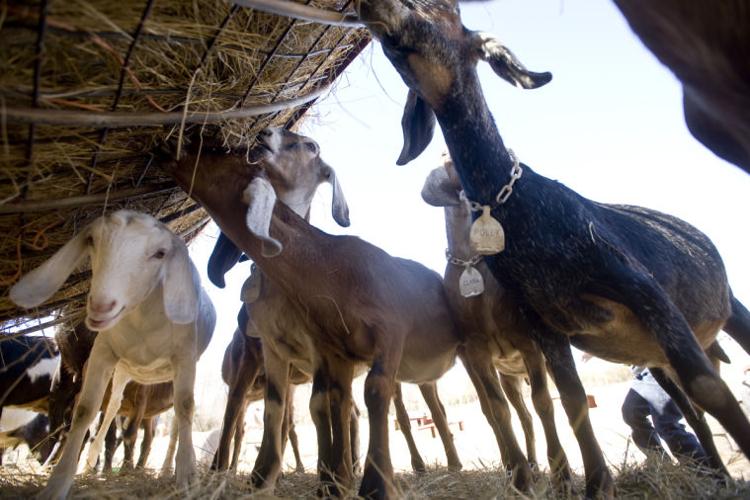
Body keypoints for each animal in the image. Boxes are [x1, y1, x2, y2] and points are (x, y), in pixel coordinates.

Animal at [10, 210, 215, 499]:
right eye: (92, 240)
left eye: (160, 253)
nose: (101, 306)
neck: (143, 322)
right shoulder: (103, 352)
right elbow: (85, 410)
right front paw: (56, 485)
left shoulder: (184, 357)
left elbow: (185, 406)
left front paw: (188, 478)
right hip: (124, 370)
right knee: (112, 407)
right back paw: (90, 462)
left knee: (173, 416)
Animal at [168, 128, 462, 498]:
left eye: (224, 159)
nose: (173, 147)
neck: (331, 267)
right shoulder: (298, 352)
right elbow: (285, 407)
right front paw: (268, 479)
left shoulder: (384, 334)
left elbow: (365, 392)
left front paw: (373, 483)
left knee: (432, 407)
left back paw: (449, 464)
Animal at [423, 154, 571, 485]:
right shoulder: (476, 351)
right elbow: (498, 409)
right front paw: (520, 475)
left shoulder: (528, 343)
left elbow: (543, 402)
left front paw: (562, 472)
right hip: (508, 374)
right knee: (521, 413)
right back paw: (531, 464)